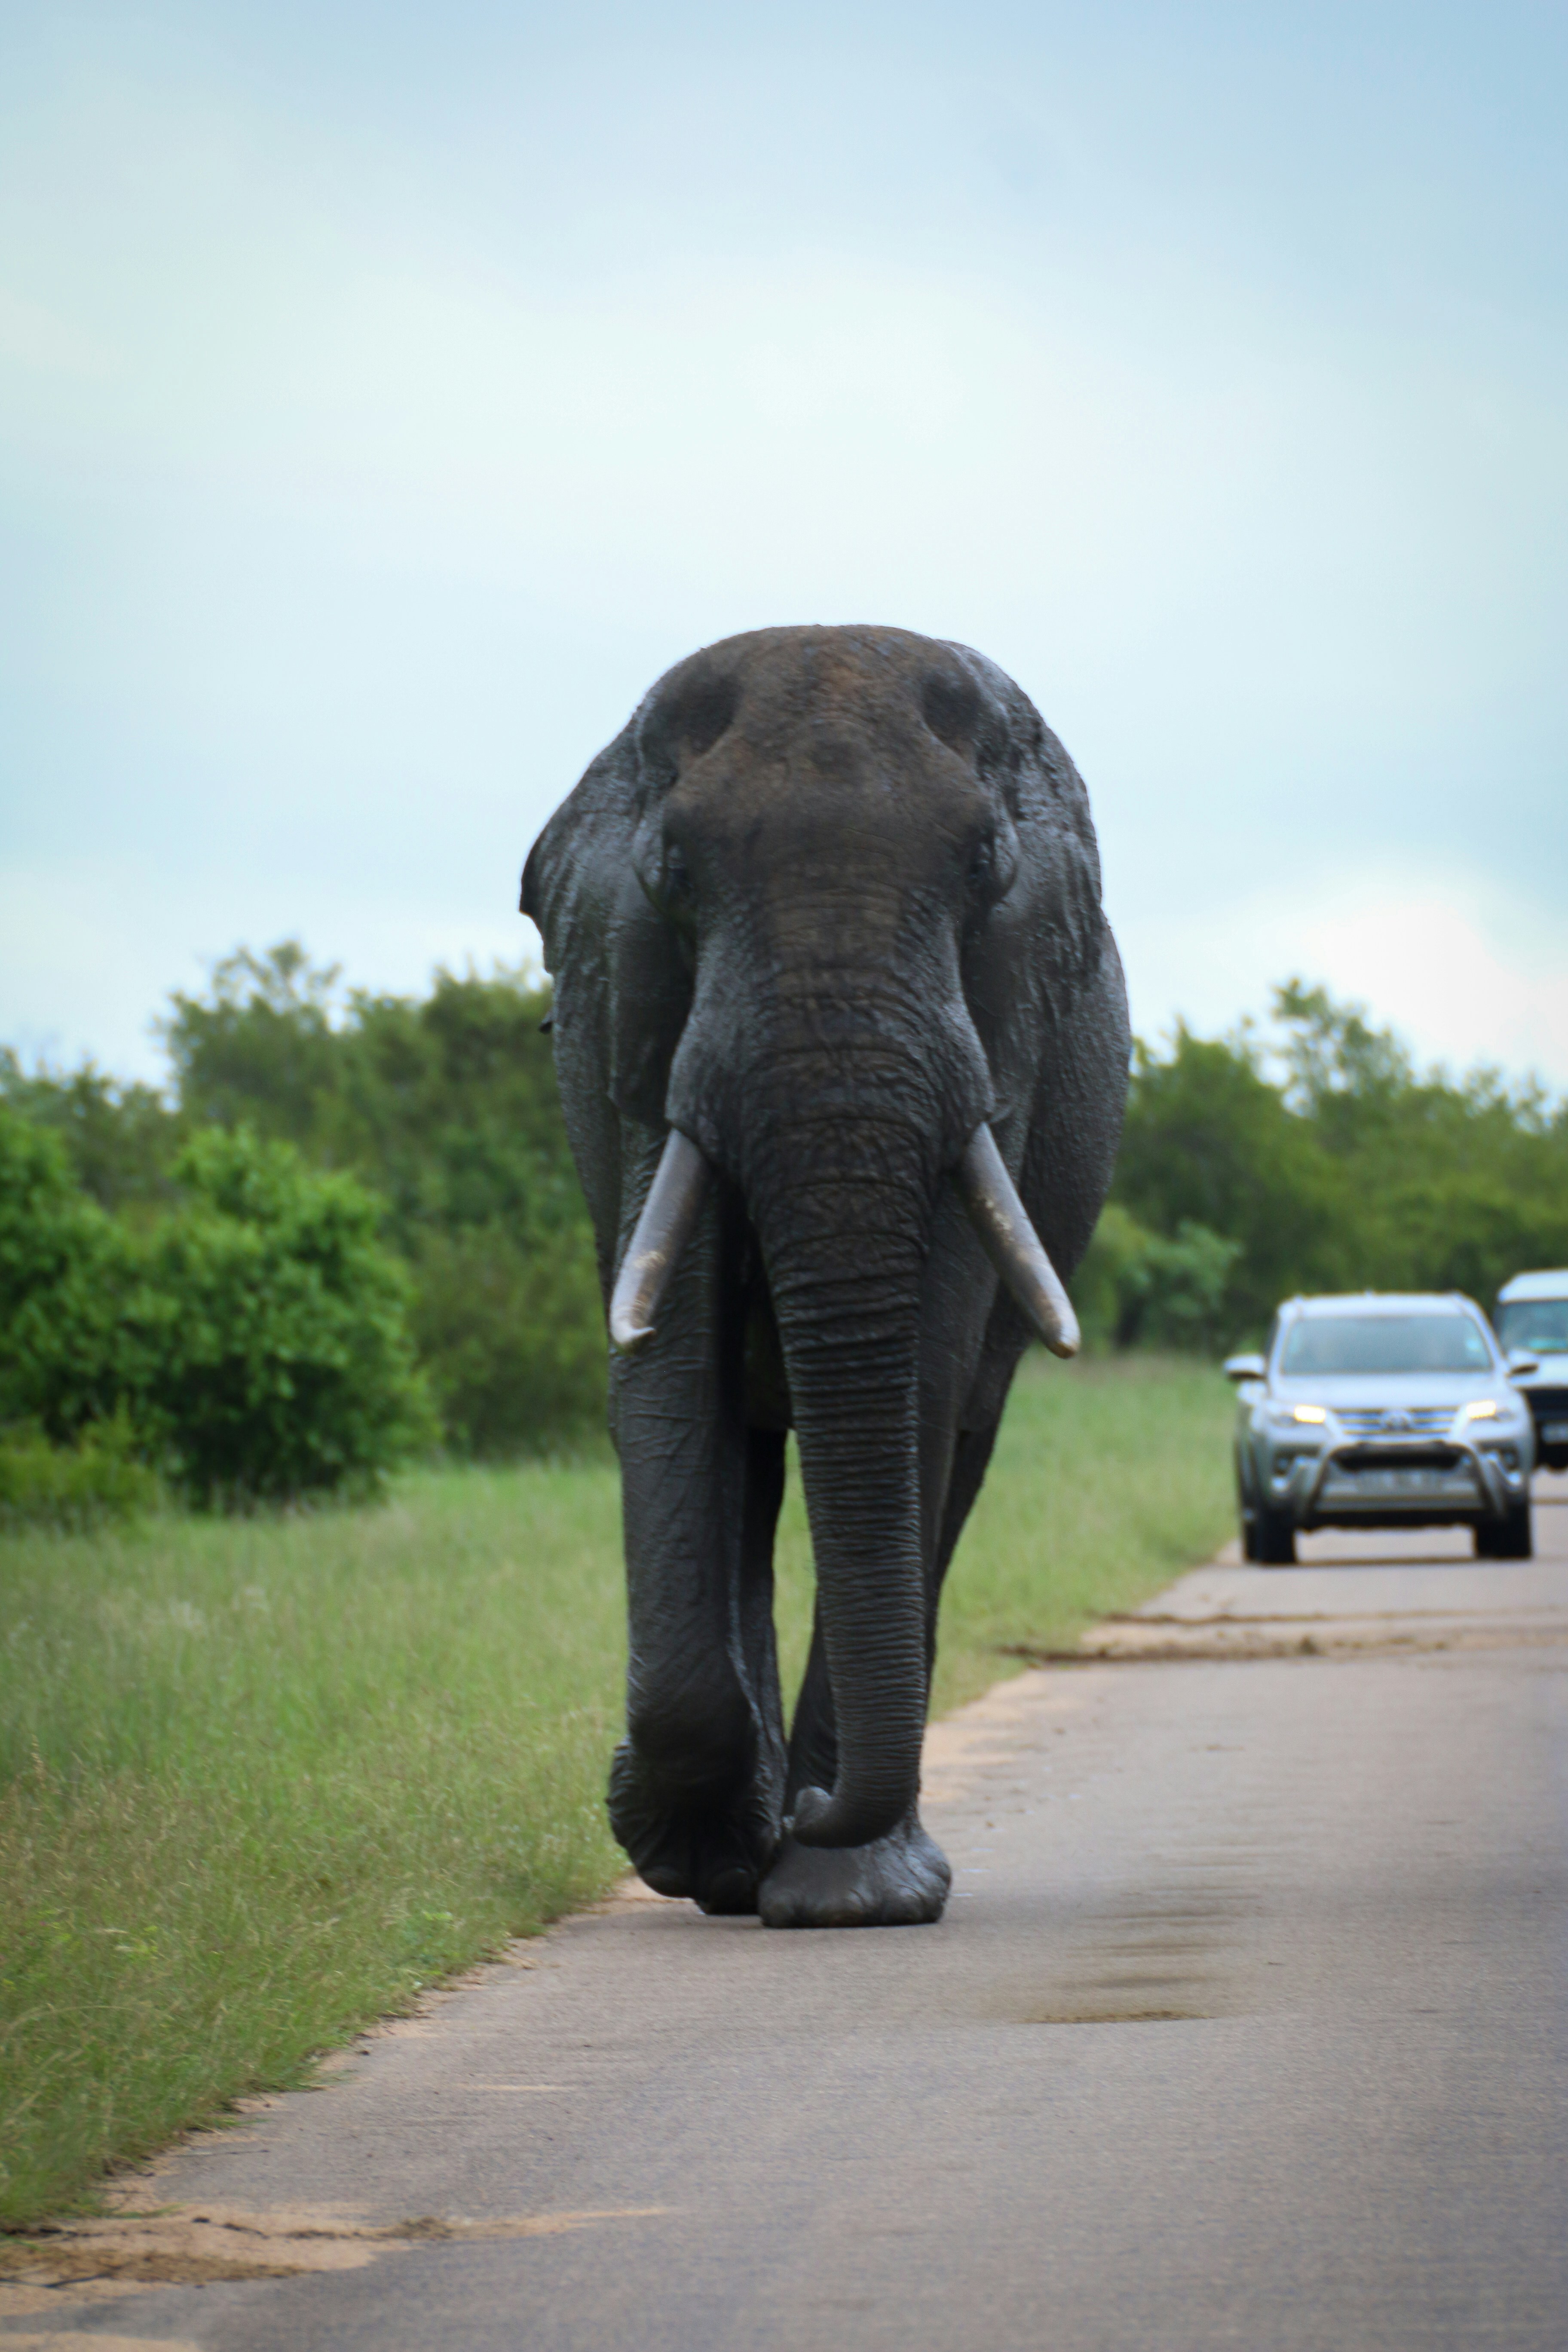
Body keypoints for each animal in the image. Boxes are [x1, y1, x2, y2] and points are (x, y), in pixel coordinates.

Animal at [521, 625, 1128, 1929]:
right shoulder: (636, 1017)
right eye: (674, 870)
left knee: (959, 1453)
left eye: (985, 865)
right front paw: (697, 1851)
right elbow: (667, 1360)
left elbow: (927, 1370)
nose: (810, 1811)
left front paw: (841, 1893)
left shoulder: (1006, 1028)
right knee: (746, 1456)